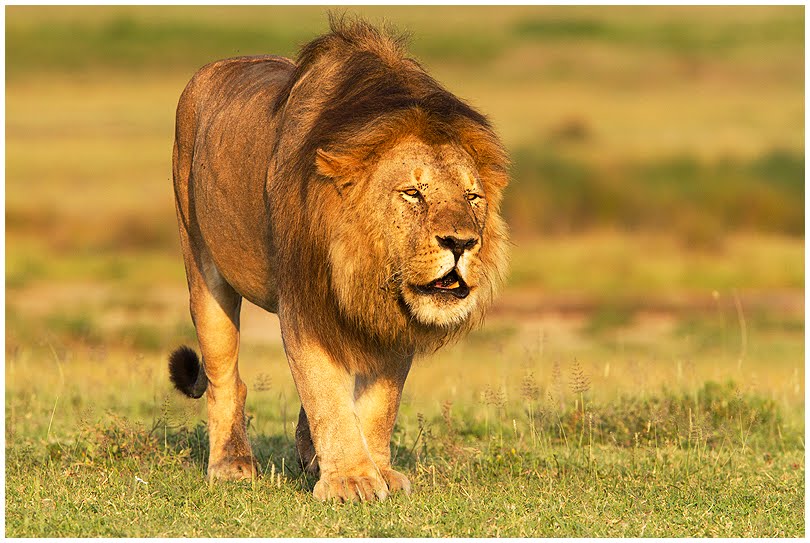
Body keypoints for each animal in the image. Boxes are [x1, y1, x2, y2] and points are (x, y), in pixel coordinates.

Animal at [168, 15, 509, 502]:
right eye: (413, 193)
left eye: (472, 197)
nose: (461, 243)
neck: (361, 268)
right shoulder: (302, 302)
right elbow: (325, 390)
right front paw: (351, 481)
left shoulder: (393, 320)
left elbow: (380, 403)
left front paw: (378, 472)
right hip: (202, 267)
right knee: (224, 374)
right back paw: (232, 464)